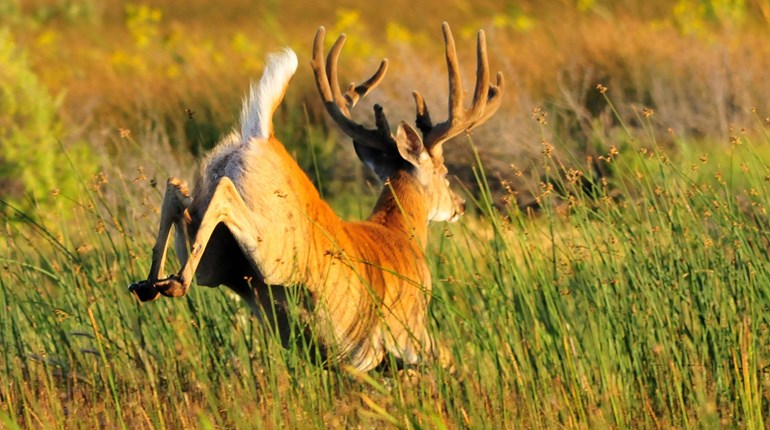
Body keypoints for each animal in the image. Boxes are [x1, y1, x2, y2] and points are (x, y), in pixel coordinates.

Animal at [128, 22, 503, 372]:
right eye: (444, 171)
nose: (460, 205)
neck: (400, 233)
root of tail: (260, 136)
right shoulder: (409, 337)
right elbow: (448, 361)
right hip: (276, 250)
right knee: (224, 195)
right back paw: (170, 282)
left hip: (218, 263)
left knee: (177, 192)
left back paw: (150, 283)